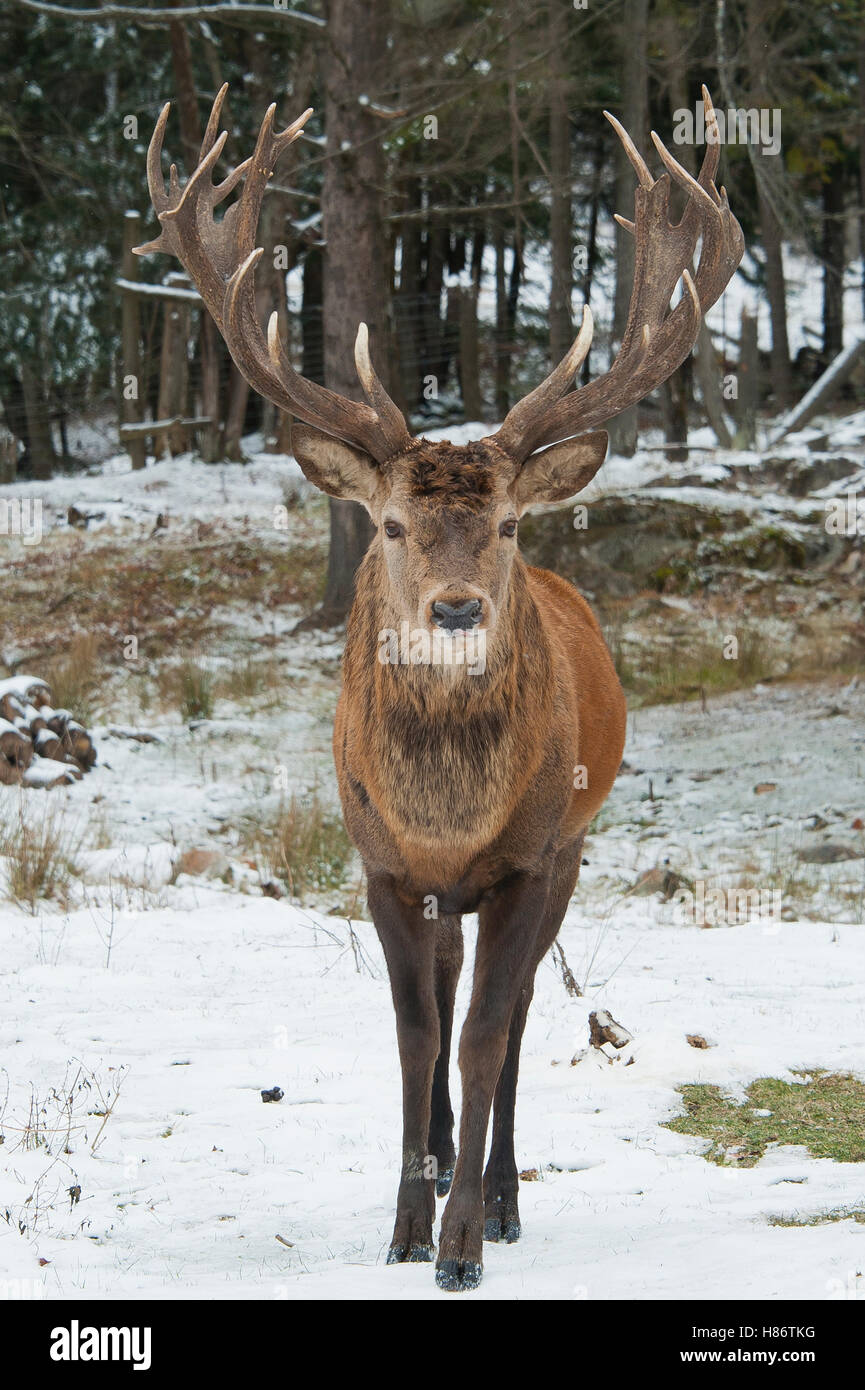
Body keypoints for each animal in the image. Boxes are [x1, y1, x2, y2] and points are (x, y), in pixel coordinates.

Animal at [136, 84, 743, 1292]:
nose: (457, 610)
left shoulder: (527, 858)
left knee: (512, 1016)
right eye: (389, 524)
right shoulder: (378, 864)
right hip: (450, 892)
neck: (446, 820)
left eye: (505, 524)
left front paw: (461, 1239)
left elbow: (483, 1035)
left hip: (569, 847)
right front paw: (404, 1224)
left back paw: (502, 1195)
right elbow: (418, 1034)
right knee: (457, 990)